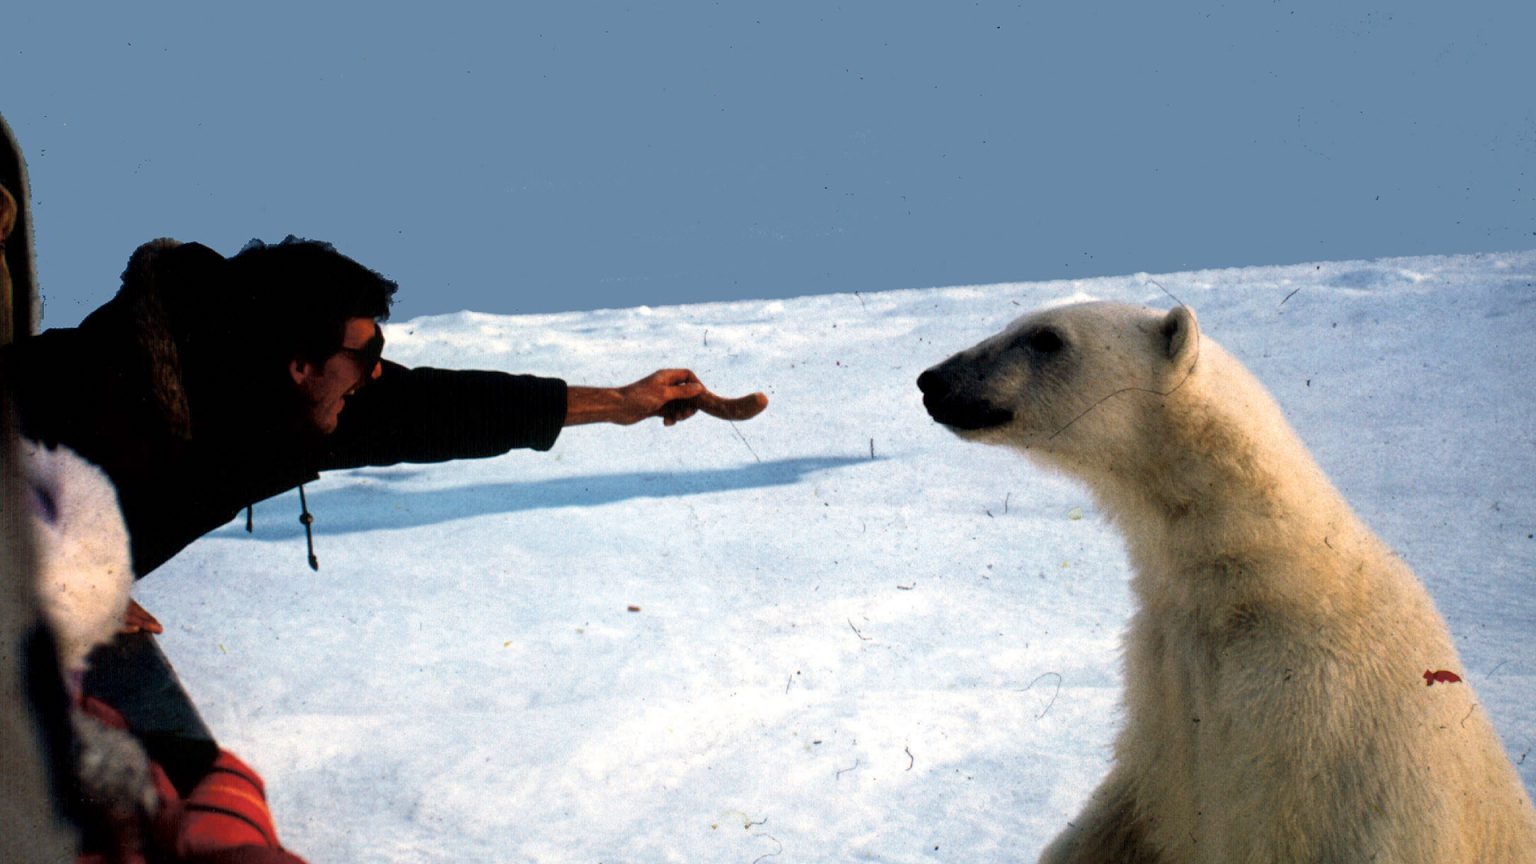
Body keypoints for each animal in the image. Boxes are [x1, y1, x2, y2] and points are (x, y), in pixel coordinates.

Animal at [917, 301, 1536, 863]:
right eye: (1013, 322)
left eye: (1046, 338)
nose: (932, 380)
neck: (1254, 585)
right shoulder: (1165, 697)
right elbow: (1116, 824)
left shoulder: (1340, 738)